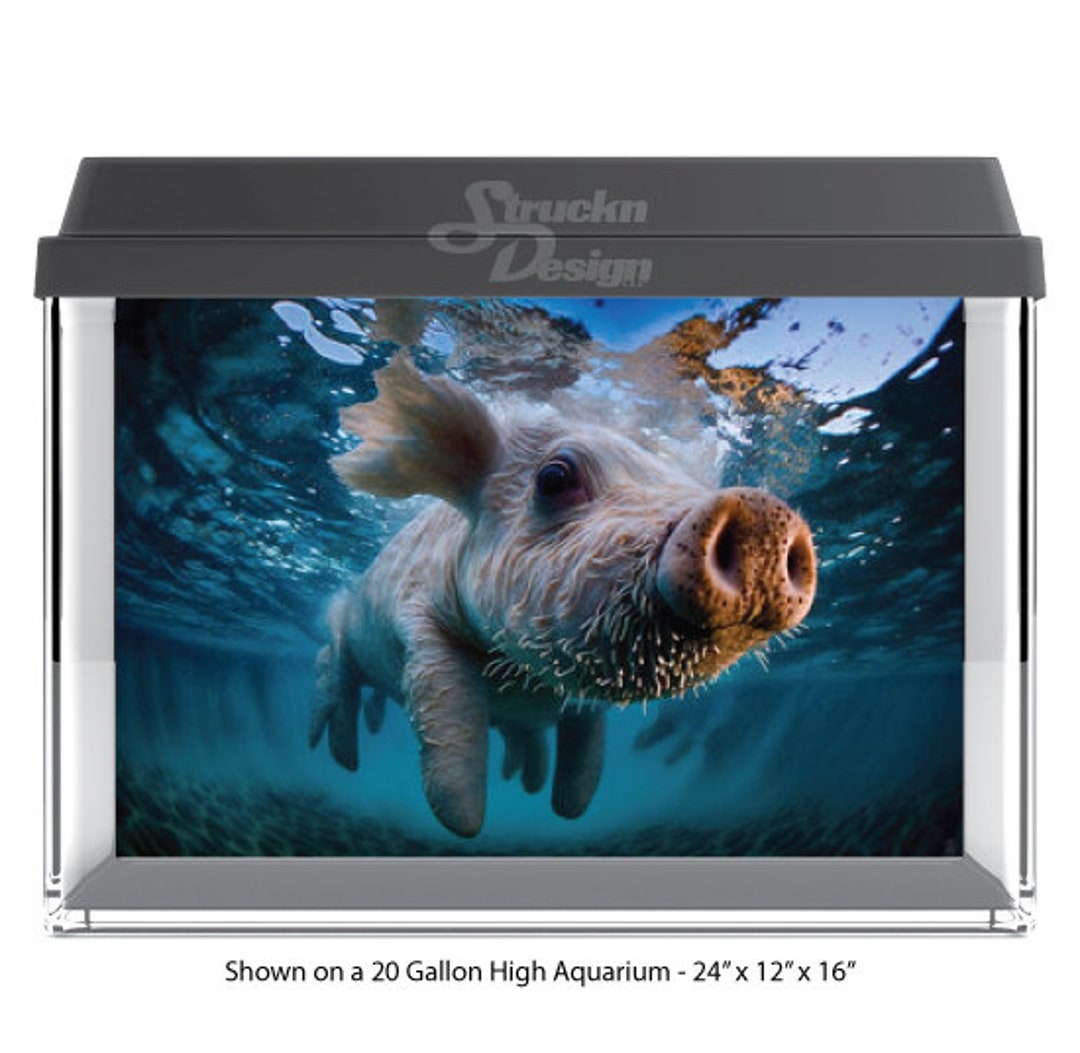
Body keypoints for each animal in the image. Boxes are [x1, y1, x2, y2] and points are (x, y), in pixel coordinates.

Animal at [310, 354, 816, 837]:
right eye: (554, 478)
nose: (762, 510)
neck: (519, 679)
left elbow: (584, 758)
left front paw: (564, 810)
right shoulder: (418, 619)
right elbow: (449, 718)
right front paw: (466, 825)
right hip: (342, 626)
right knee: (337, 672)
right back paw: (342, 759)